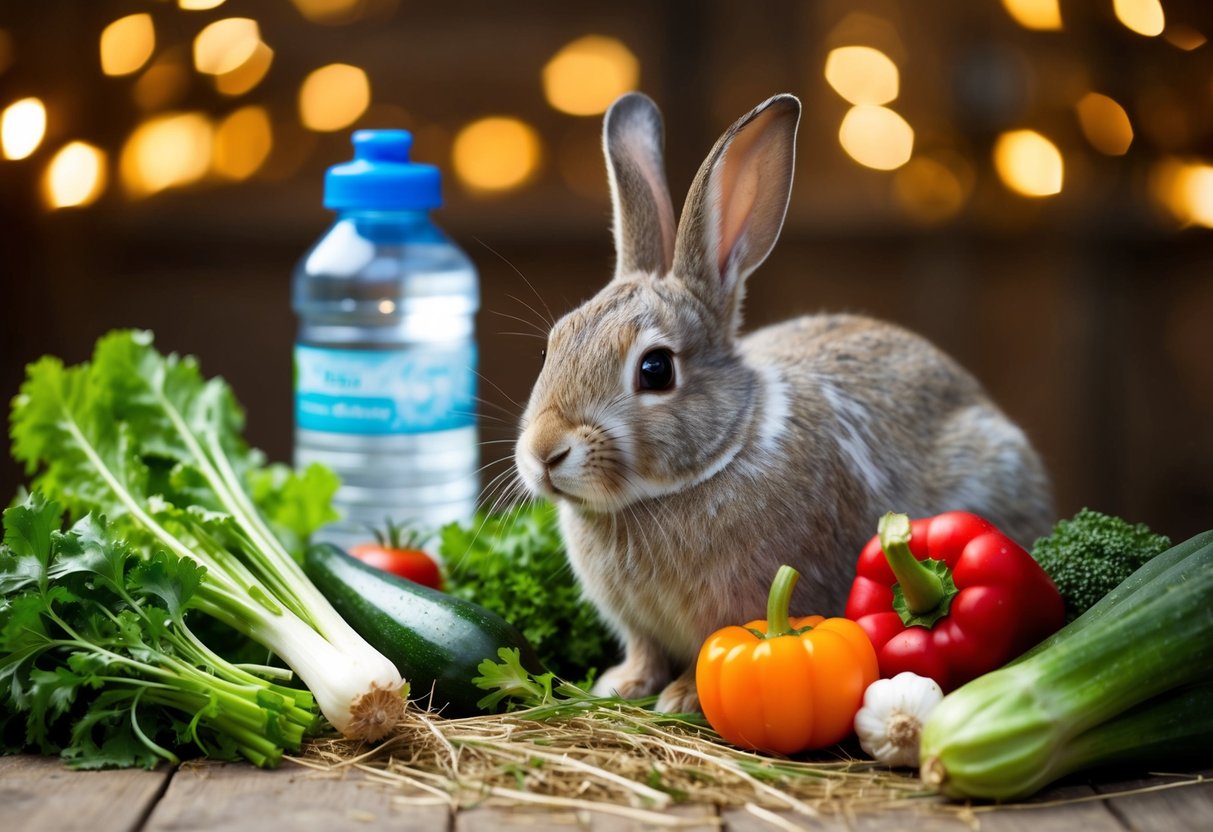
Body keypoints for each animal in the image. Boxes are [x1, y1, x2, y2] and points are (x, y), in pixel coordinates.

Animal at [513, 92, 1055, 714]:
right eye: (553, 343)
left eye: (656, 369)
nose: (544, 453)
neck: (712, 461)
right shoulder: (637, 625)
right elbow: (644, 651)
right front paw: (621, 685)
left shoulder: (737, 604)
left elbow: (709, 650)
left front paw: (683, 698)